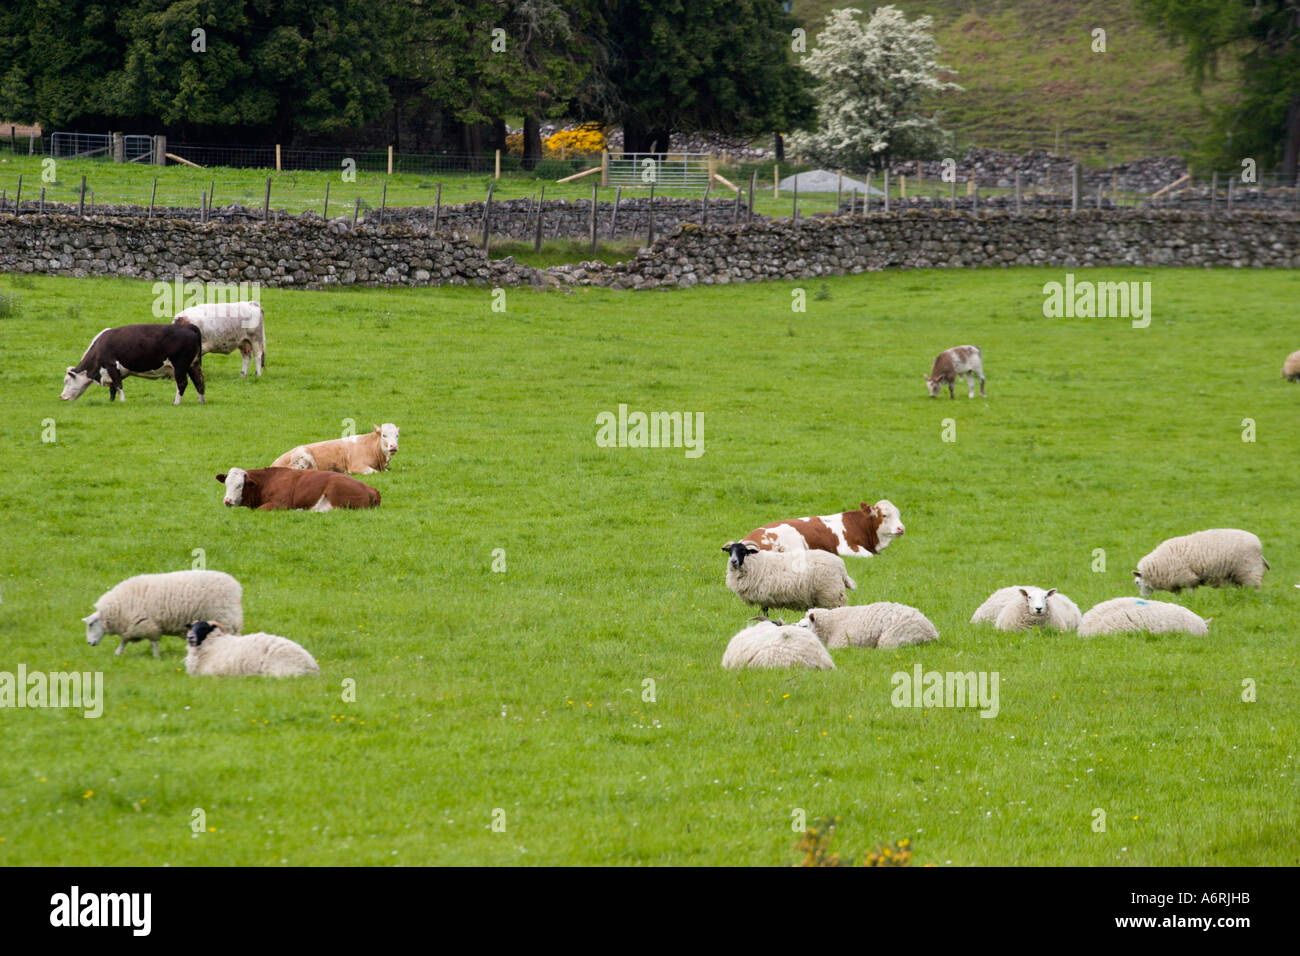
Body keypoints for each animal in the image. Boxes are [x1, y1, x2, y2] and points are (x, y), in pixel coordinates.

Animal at [61, 323, 205, 404]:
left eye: (67, 381)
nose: (62, 397)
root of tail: (188, 327)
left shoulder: (111, 366)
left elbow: (118, 386)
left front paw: (122, 402)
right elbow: (113, 388)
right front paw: (111, 402)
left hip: (180, 366)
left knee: (182, 383)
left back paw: (176, 402)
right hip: (193, 365)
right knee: (199, 381)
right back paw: (201, 401)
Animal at [84, 570, 243, 658]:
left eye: (91, 624)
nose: (89, 643)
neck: (118, 608)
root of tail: (236, 586)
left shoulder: (145, 624)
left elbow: (153, 641)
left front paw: (156, 657)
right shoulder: (132, 626)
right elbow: (125, 640)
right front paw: (118, 653)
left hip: (226, 618)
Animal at [722, 540, 855, 616]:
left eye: (743, 550)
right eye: (730, 551)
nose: (733, 561)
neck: (754, 562)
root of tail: (841, 567)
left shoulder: (763, 596)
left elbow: (765, 612)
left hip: (831, 594)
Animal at [1132, 529, 1270, 597]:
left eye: (1137, 583)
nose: (1143, 598)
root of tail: (1259, 546)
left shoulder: (1186, 578)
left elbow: (1190, 592)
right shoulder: (1176, 582)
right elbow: (1179, 595)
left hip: (1250, 570)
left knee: (1255, 588)